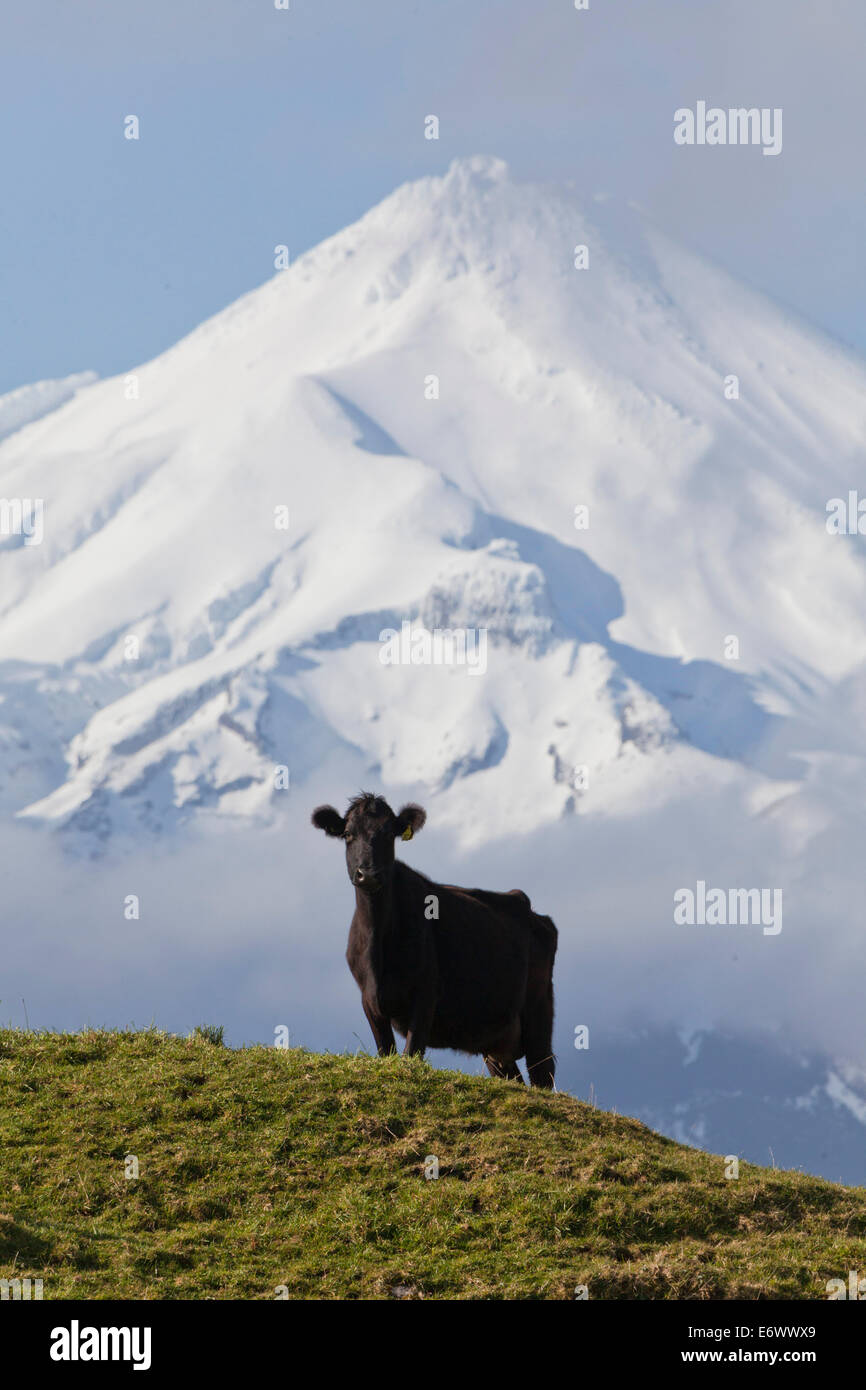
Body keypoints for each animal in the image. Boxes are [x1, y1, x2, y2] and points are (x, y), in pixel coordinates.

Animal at [311, 793, 557, 1086]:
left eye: (389, 834)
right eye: (348, 833)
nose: (368, 874)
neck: (378, 944)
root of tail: (528, 906)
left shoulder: (426, 993)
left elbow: (411, 1053)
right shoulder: (369, 1000)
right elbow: (386, 1051)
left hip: (538, 1014)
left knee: (543, 1074)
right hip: (497, 1039)